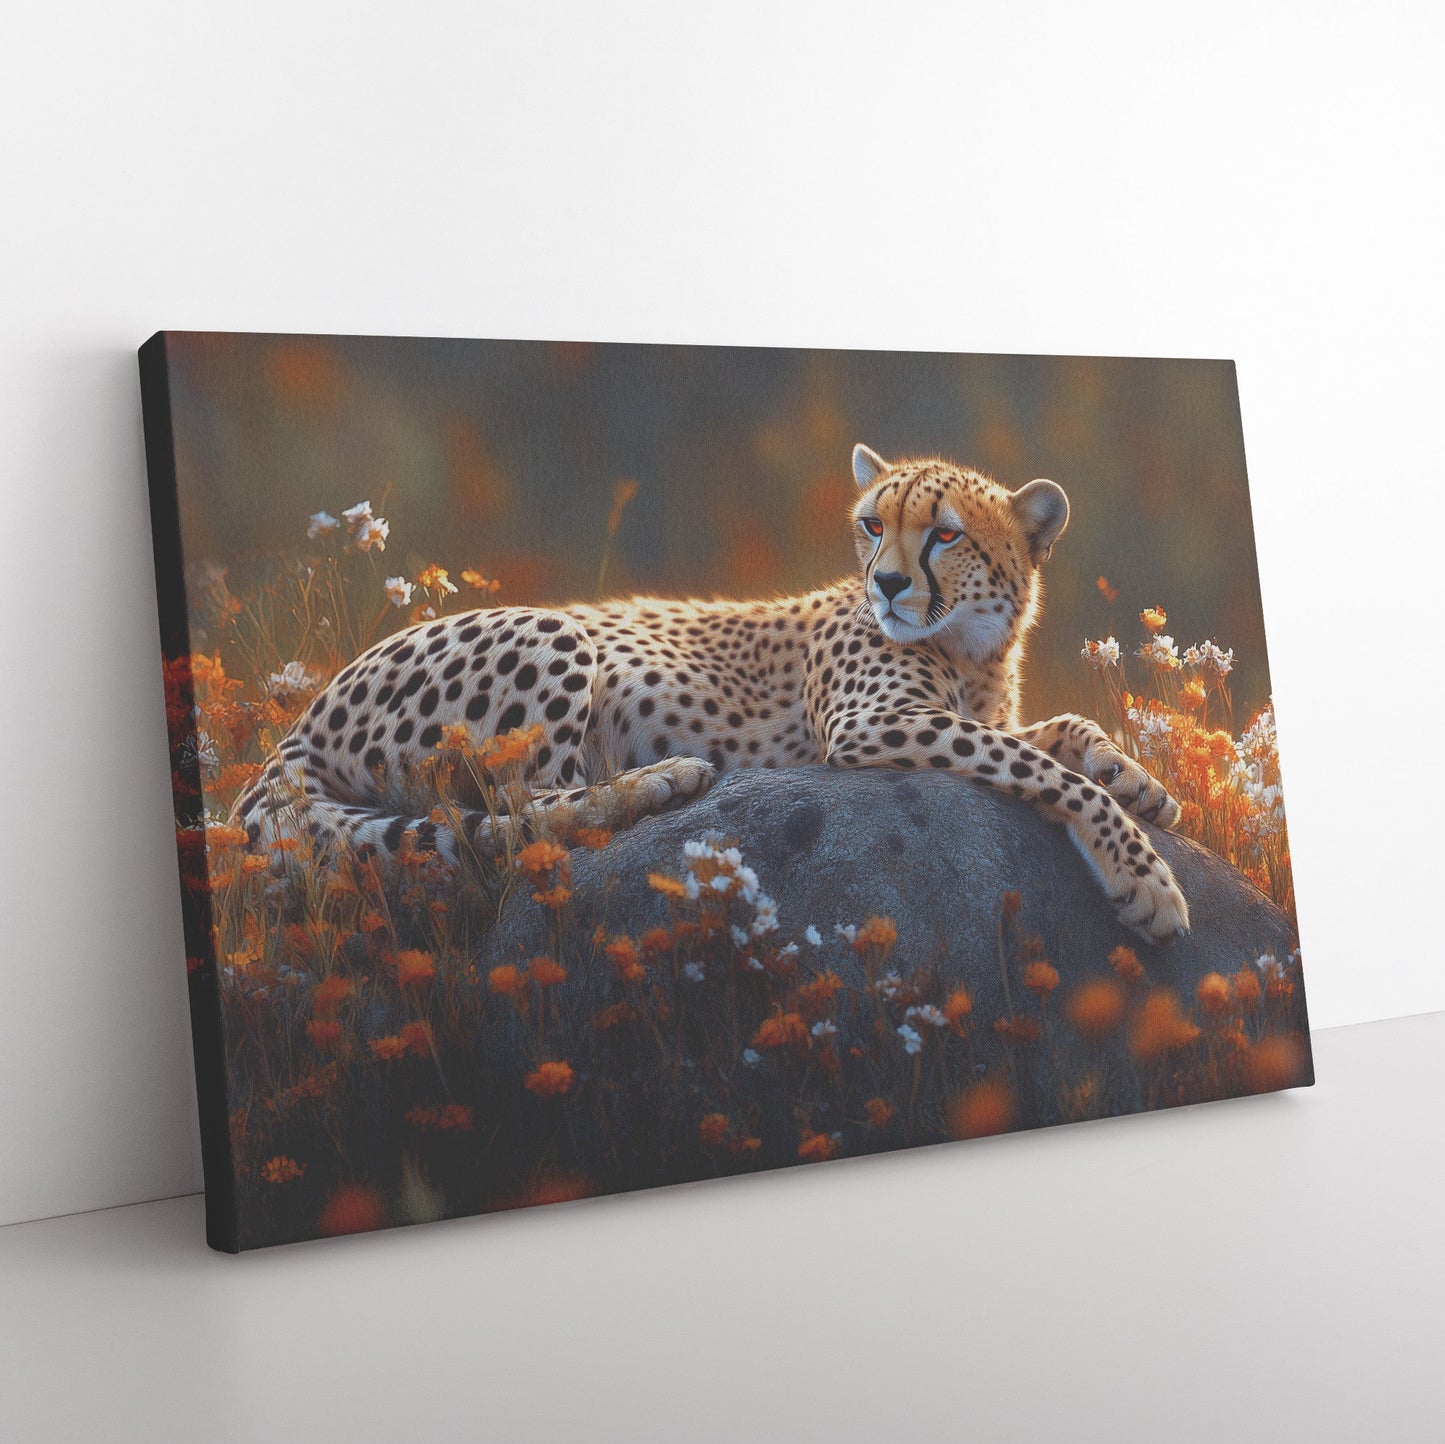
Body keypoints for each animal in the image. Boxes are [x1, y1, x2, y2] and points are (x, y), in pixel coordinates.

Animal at [234, 445, 1189, 941]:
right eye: (871, 524)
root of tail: (303, 714)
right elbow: (1046, 771)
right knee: (521, 815)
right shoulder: (870, 723)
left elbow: (1059, 730)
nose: (885, 585)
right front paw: (1142, 875)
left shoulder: (960, 713)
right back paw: (660, 780)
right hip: (552, 634)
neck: (973, 644)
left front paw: (1140, 781)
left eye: (944, 535)